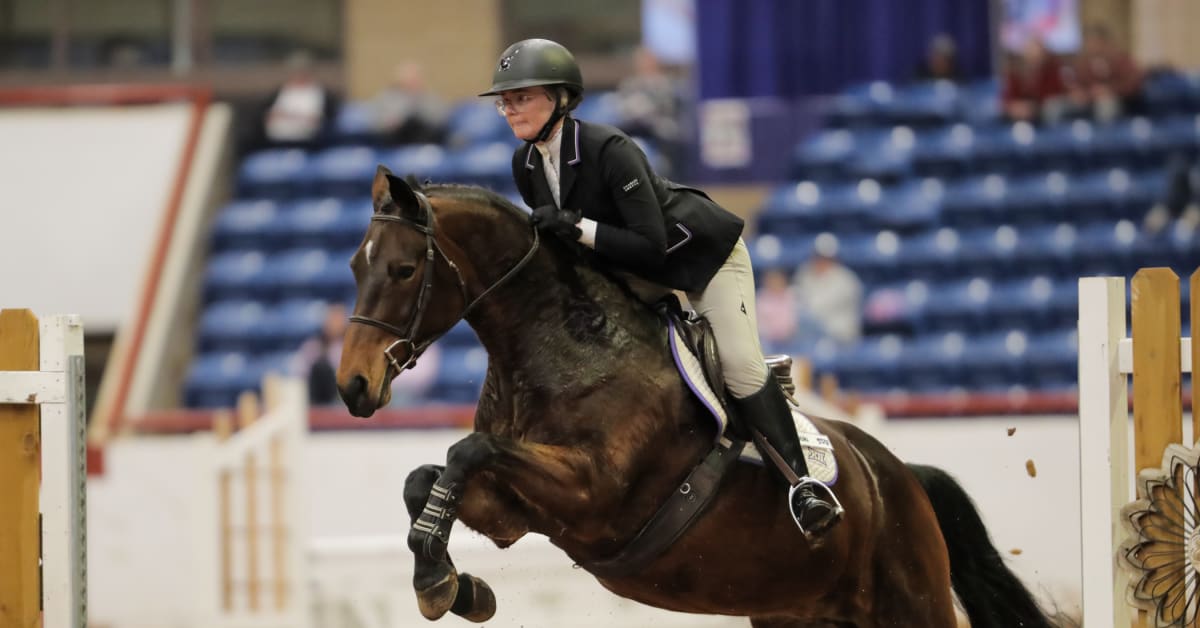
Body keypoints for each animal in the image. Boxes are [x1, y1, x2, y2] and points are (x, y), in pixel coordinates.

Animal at [335, 166, 1056, 628]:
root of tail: (900, 475)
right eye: (353, 266)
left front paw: (438, 583)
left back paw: (813, 501)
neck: (558, 344)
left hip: (910, 604)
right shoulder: (518, 511)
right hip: (799, 613)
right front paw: (456, 587)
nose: (352, 386)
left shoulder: (593, 493)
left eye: (403, 269)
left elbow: (467, 451)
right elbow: (428, 477)